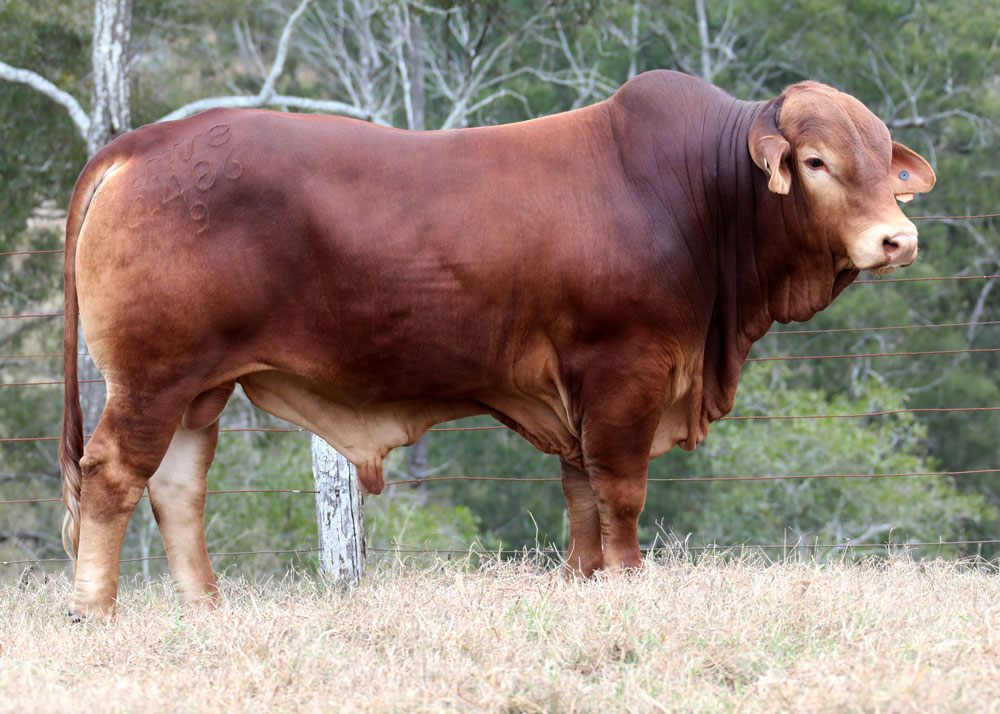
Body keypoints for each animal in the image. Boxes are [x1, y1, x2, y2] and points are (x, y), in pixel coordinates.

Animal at [59, 70, 934, 617]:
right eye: (816, 161)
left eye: (883, 162)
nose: (898, 240)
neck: (698, 197)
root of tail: (141, 144)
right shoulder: (624, 372)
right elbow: (620, 490)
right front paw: (628, 580)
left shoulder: (578, 392)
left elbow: (581, 491)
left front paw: (584, 579)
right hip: (153, 378)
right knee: (110, 479)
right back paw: (95, 614)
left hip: (198, 388)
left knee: (178, 487)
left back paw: (205, 607)